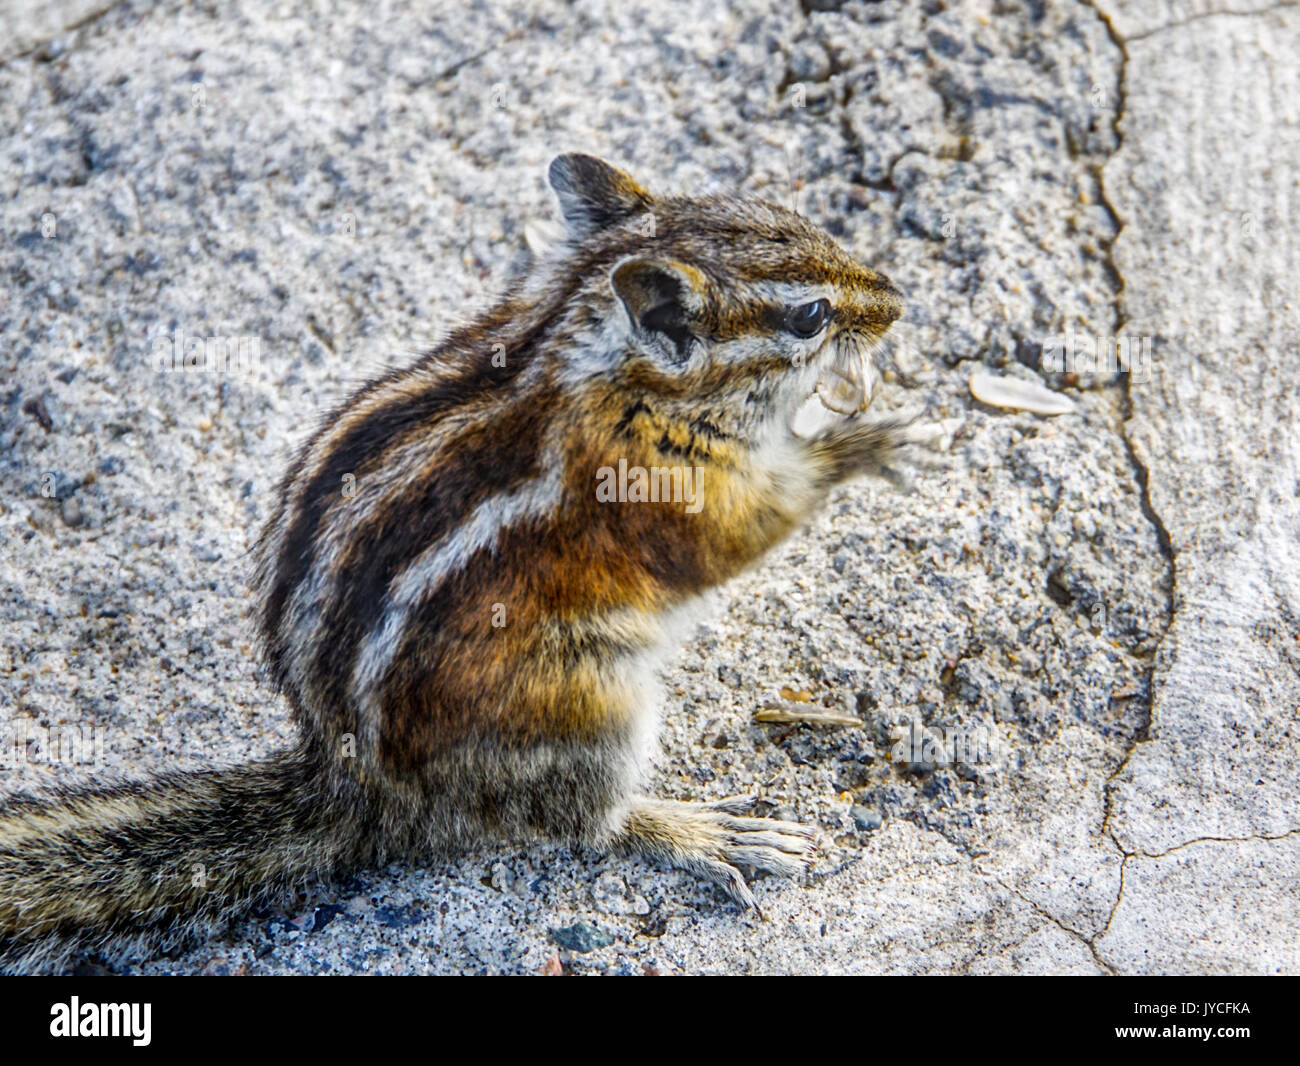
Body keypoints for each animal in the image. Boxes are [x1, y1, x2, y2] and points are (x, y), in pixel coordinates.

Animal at [0, 154, 915, 972]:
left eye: (802, 219)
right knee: (586, 819)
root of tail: (359, 790)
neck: (590, 354)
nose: (897, 300)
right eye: (810, 316)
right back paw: (700, 830)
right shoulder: (670, 488)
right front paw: (863, 441)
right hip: (590, 704)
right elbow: (750, 525)